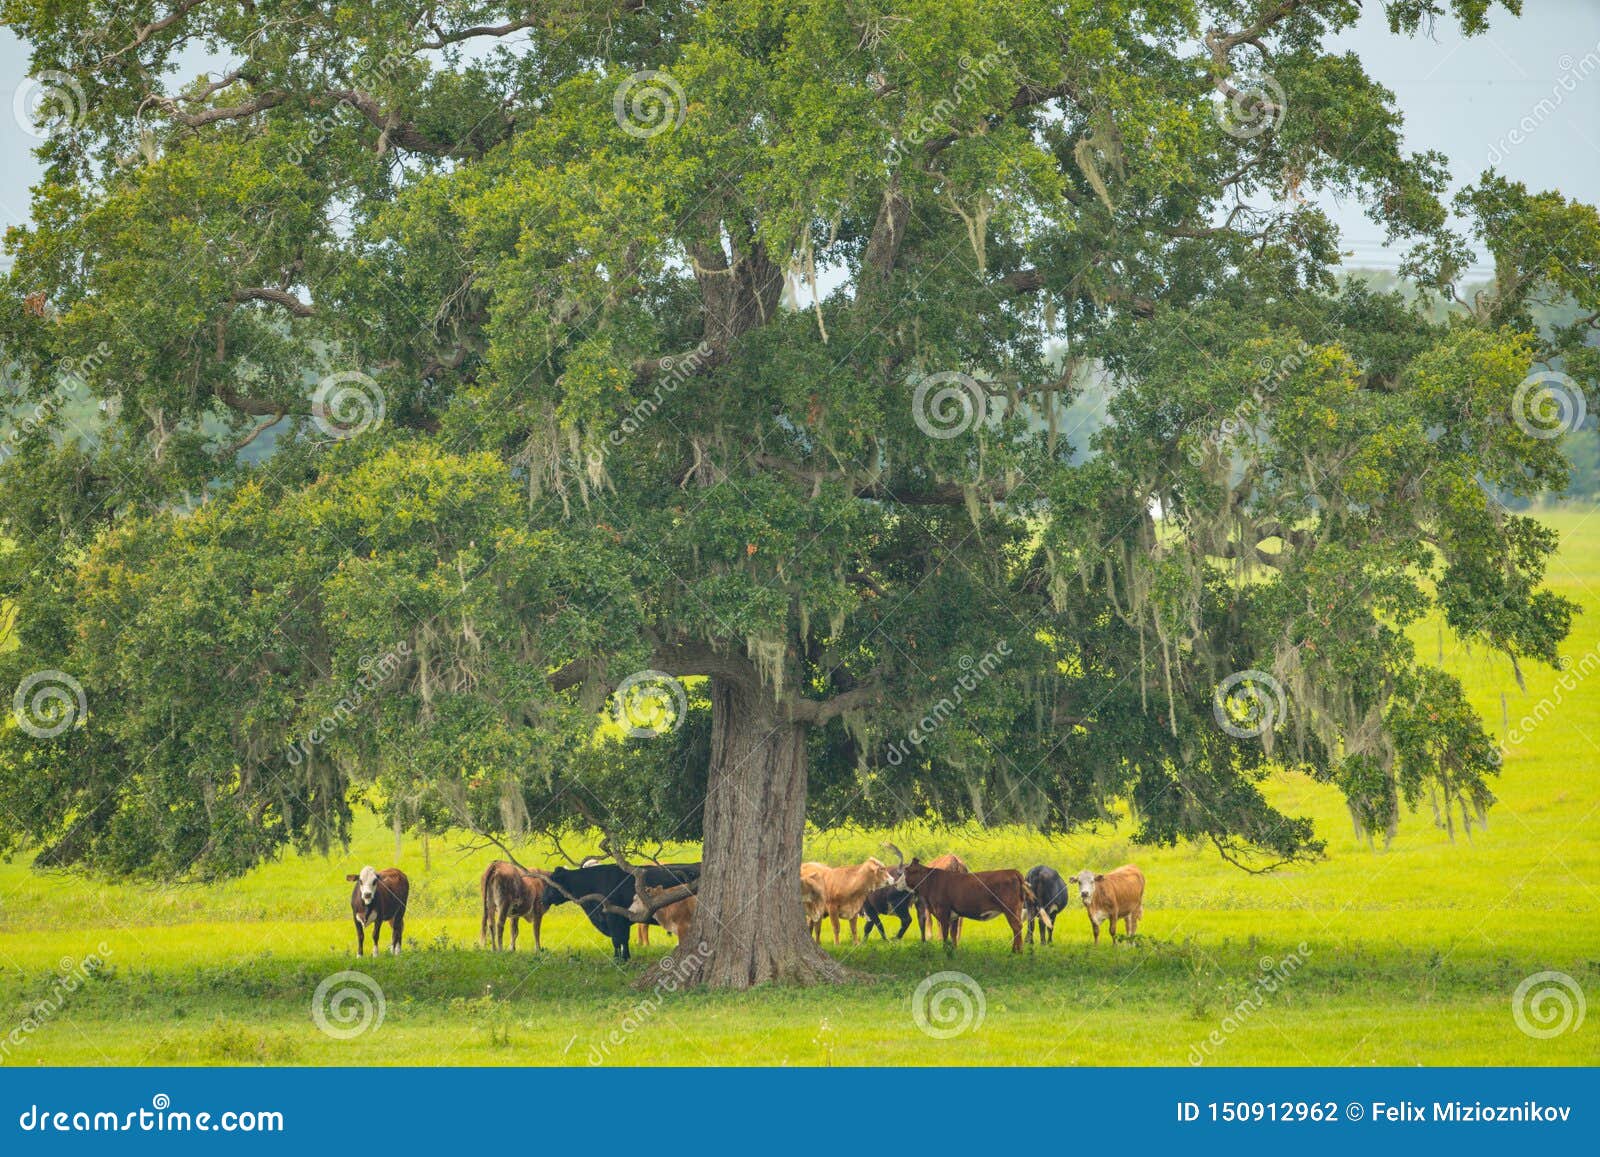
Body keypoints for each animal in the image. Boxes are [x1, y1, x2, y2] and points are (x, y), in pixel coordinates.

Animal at [545, 860, 700, 960]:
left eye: (552, 882)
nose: (543, 899)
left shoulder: (613, 917)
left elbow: (617, 939)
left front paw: (618, 959)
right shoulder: (623, 920)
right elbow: (624, 939)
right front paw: (626, 957)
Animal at [892, 849, 1032, 953]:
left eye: (906, 872)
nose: (895, 884)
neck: (932, 881)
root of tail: (1012, 871)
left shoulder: (943, 911)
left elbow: (945, 933)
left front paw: (945, 951)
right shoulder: (954, 915)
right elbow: (953, 934)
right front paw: (953, 950)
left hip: (1010, 909)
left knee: (1017, 927)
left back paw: (1017, 952)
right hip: (1016, 909)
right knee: (1017, 928)